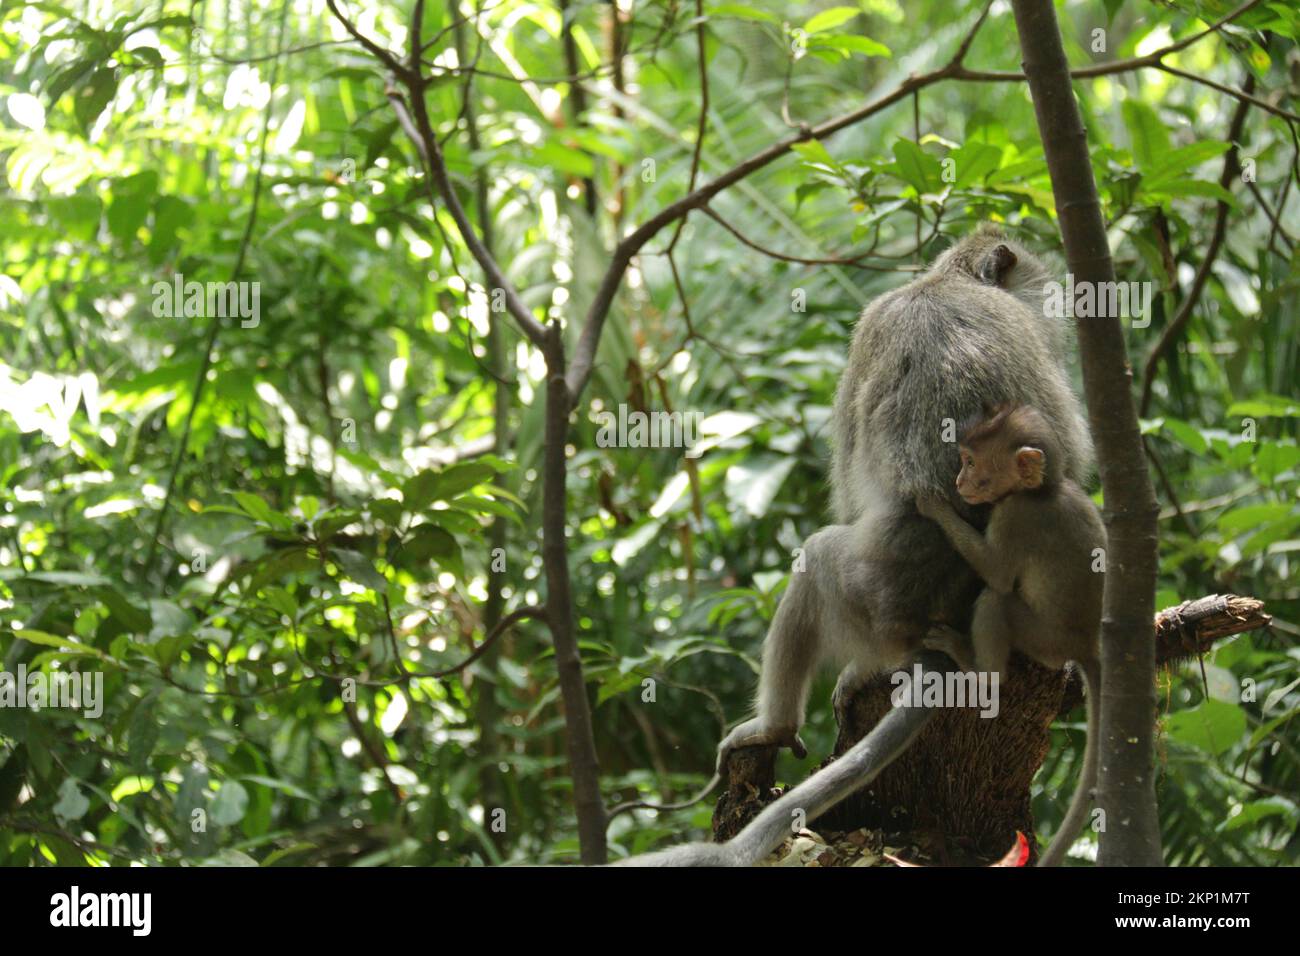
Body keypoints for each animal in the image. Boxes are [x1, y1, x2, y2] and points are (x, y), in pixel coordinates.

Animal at [717, 225, 1093, 772]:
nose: (1057, 325)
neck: (946, 281)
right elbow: (1062, 455)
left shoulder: (871, 324)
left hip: (872, 605)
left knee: (815, 559)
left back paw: (777, 725)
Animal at [914, 403, 1105, 867]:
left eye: (970, 462)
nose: (958, 482)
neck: (1040, 492)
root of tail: (1084, 644)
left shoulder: (1015, 517)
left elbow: (997, 574)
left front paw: (934, 506)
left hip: (1042, 638)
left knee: (995, 601)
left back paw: (977, 668)